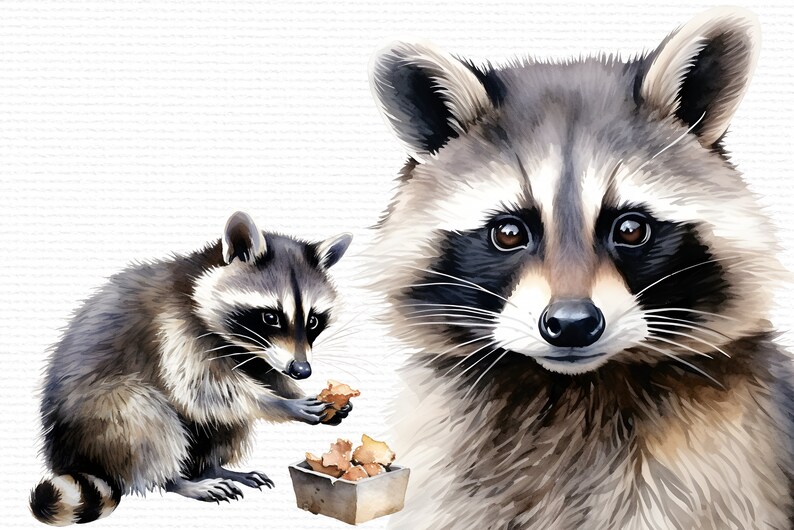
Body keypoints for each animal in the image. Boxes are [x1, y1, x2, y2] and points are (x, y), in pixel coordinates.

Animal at [30, 211, 353, 526]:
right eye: (270, 317)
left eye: (313, 320)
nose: (302, 370)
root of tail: (66, 457)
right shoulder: (174, 325)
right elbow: (202, 388)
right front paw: (280, 403)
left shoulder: (255, 351)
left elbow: (265, 375)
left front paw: (299, 393)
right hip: (100, 418)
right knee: (145, 413)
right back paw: (176, 480)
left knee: (224, 423)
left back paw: (211, 468)